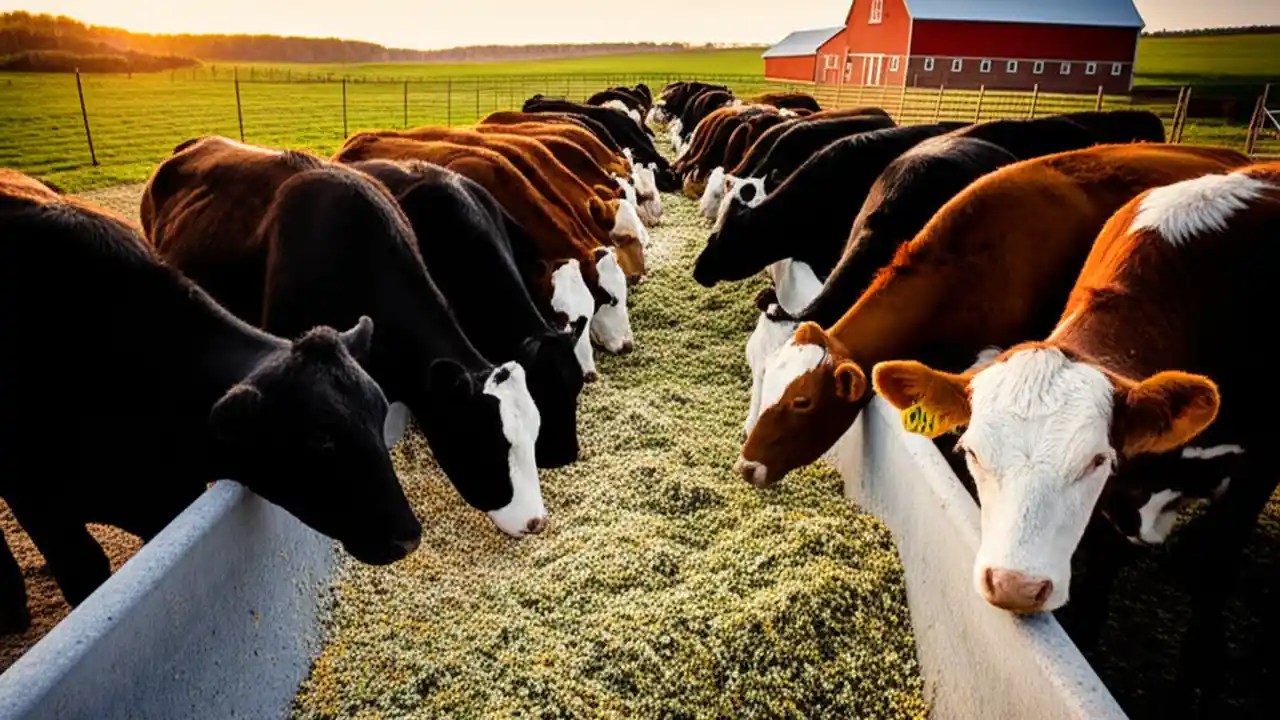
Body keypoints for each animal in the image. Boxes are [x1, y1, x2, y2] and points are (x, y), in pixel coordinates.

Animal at [1, 168, 422, 632]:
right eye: (320, 438)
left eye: (380, 415)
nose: (408, 535)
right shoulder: (37, 502)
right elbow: (85, 572)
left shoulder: (167, 501)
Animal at [872, 162, 1279, 713]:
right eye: (970, 451)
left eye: (1095, 460)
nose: (1015, 586)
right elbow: (1103, 567)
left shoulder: (1259, 469)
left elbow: (1216, 573)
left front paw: (1197, 677)